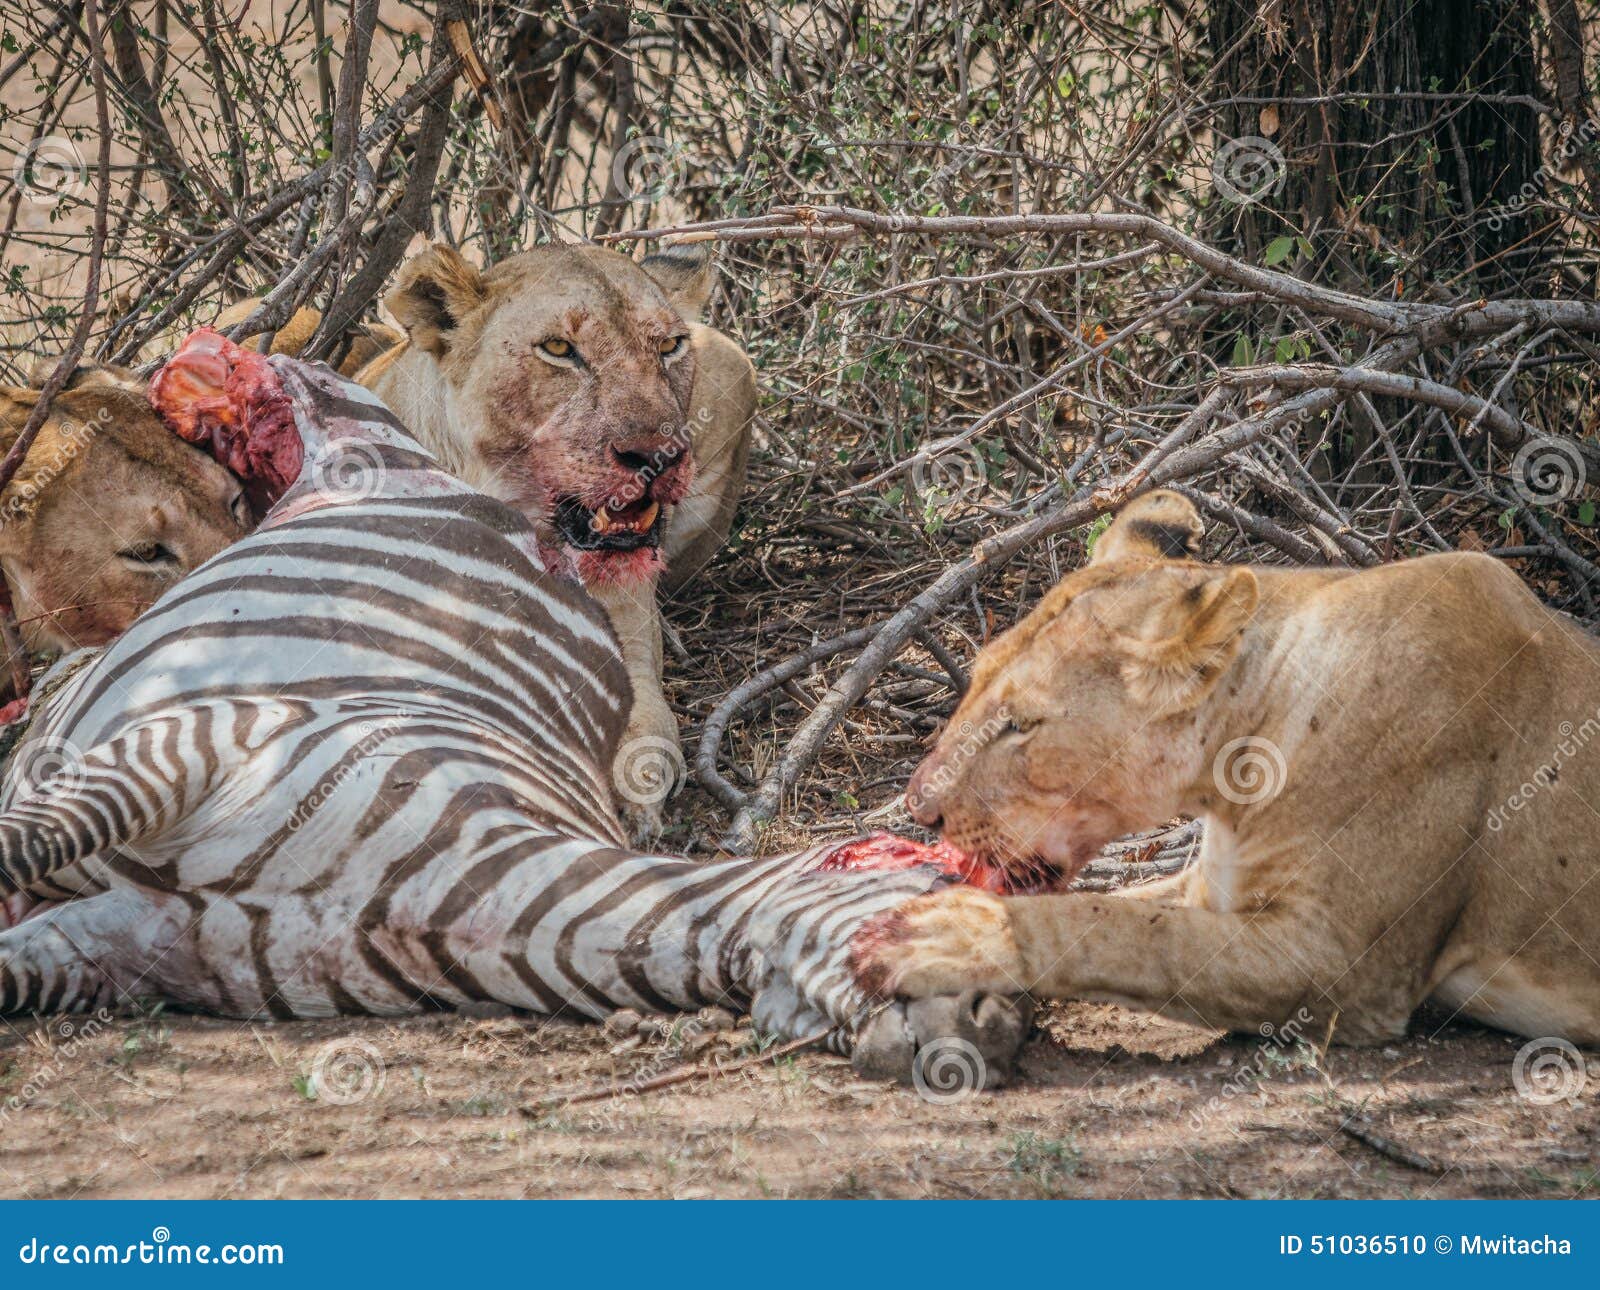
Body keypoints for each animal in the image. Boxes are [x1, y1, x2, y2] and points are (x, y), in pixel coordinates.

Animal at [0, 350, 1027, 1081]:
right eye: (949, 893)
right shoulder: (198, 743)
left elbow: (22, 948)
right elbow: (20, 842)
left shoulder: (114, 943)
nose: (996, 1032)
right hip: (347, 440)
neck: (435, 903)